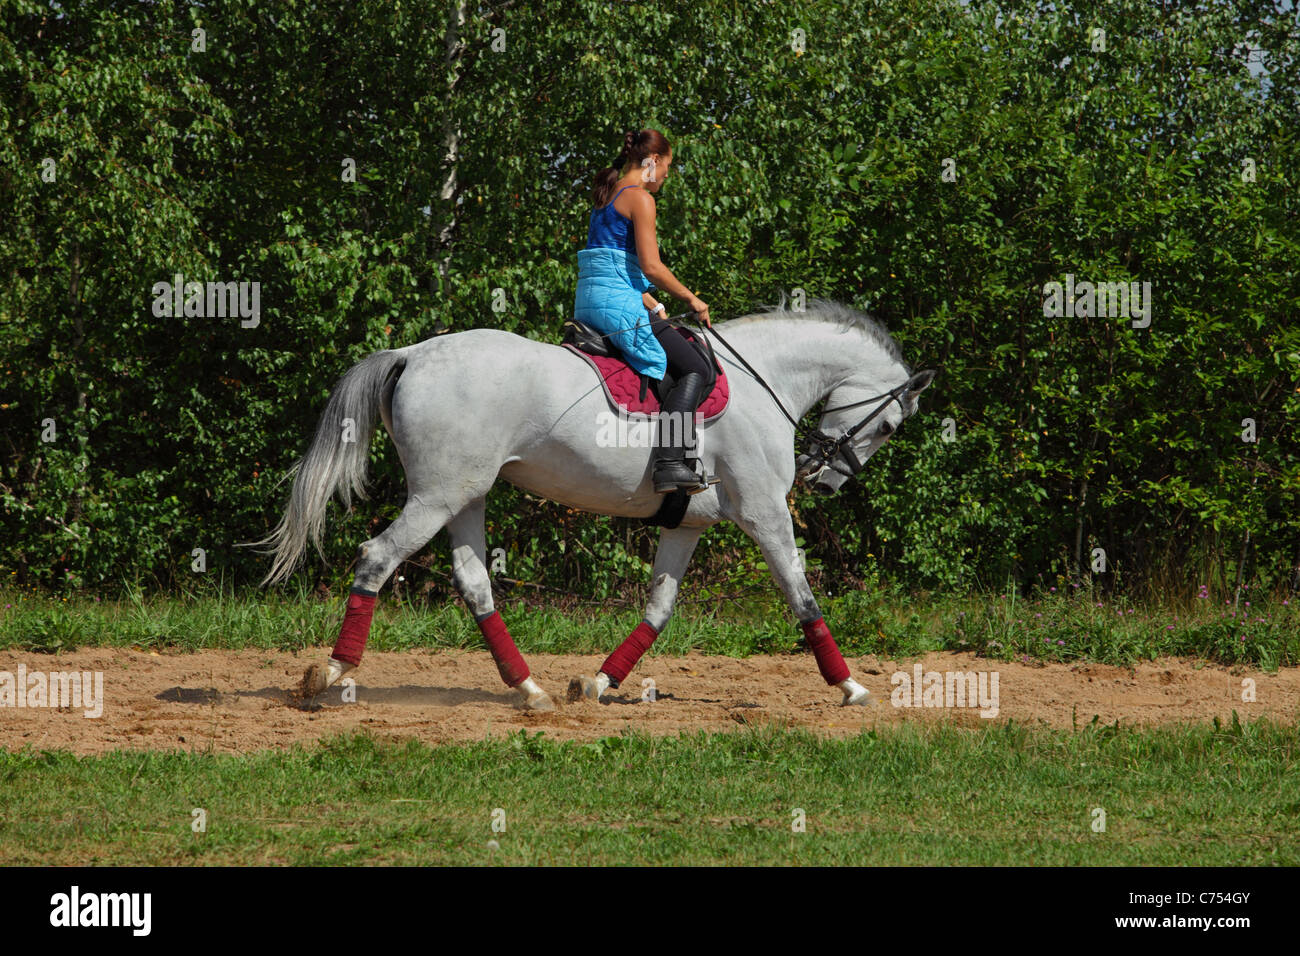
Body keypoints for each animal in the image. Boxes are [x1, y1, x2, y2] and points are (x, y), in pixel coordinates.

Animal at [254, 297, 936, 710]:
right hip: (436, 496)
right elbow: (803, 596)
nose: (824, 480)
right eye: (889, 426)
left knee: (474, 581)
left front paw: (600, 681)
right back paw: (331, 674)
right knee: (375, 557)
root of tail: (412, 353)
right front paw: (849, 685)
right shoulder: (765, 514)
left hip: (465, 495)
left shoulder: (686, 524)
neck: (765, 379)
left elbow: (659, 608)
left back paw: (530, 688)